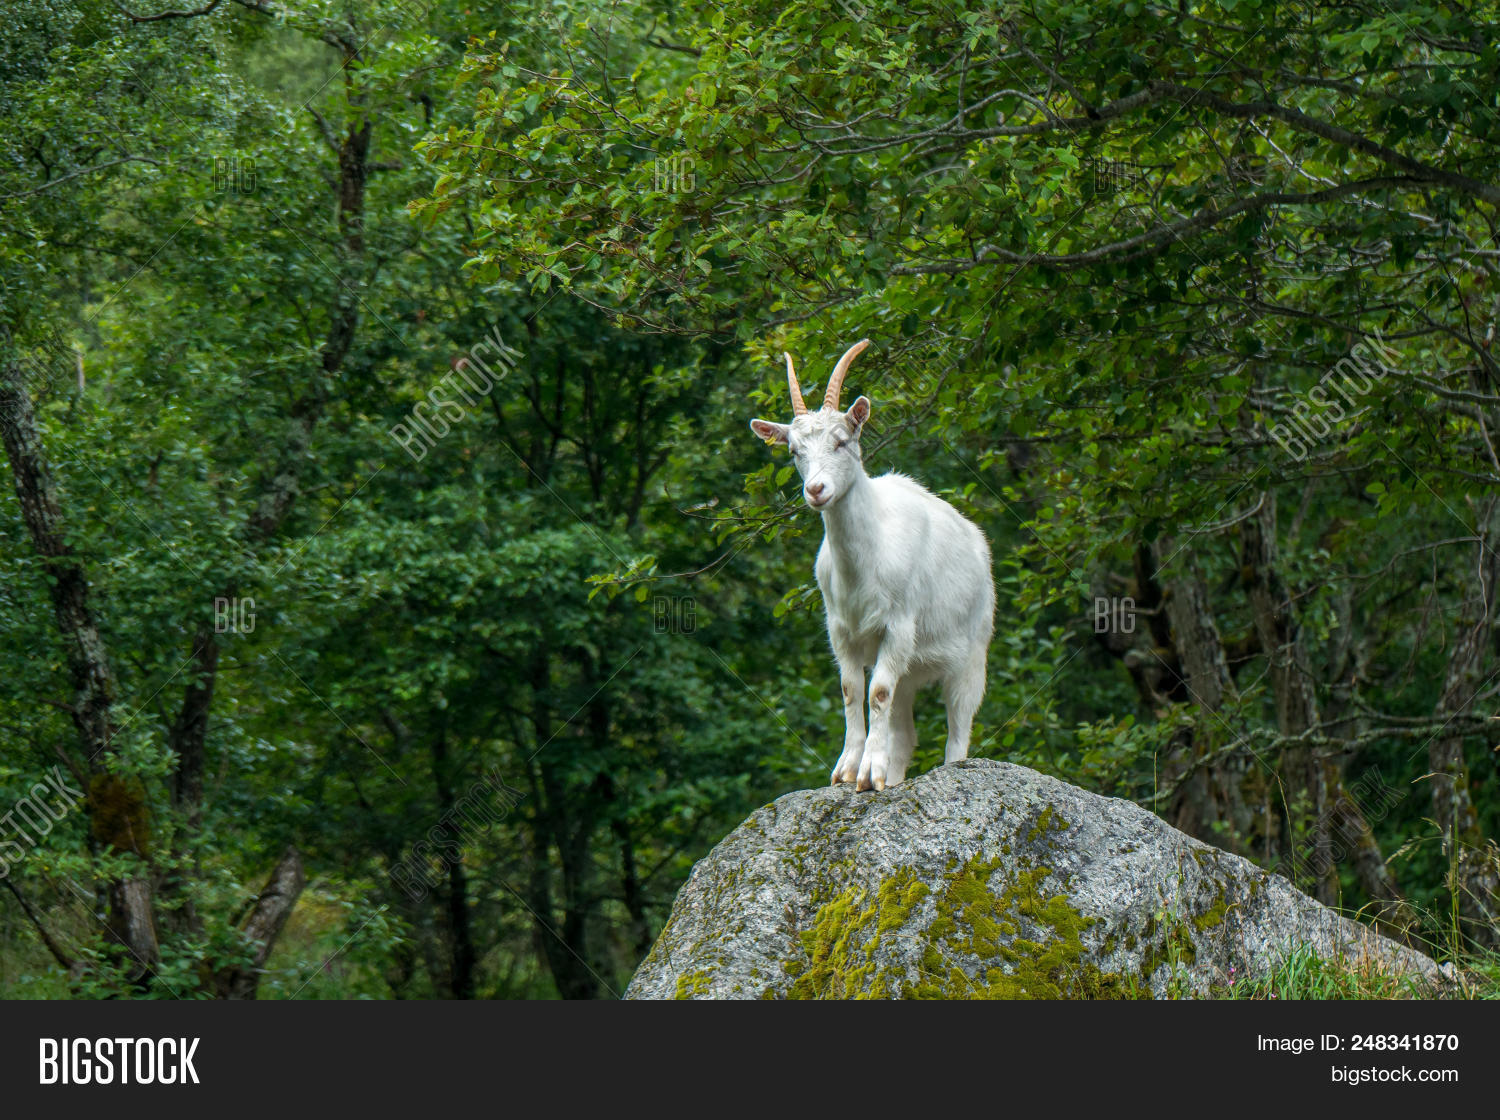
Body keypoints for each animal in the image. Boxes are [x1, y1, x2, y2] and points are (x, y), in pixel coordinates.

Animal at [749, 340, 995, 791]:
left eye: (843, 441)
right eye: (794, 451)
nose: (816, 490)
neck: (865, 566)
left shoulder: (898, 625)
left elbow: (877, 691)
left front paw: (867, 773)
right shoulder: (841, 630)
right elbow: (851, 689)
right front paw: (850, 771)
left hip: (972, 653)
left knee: (959, 723)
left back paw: (947, 766)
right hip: (912, 669)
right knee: (905, 730)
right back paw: (891, 778)